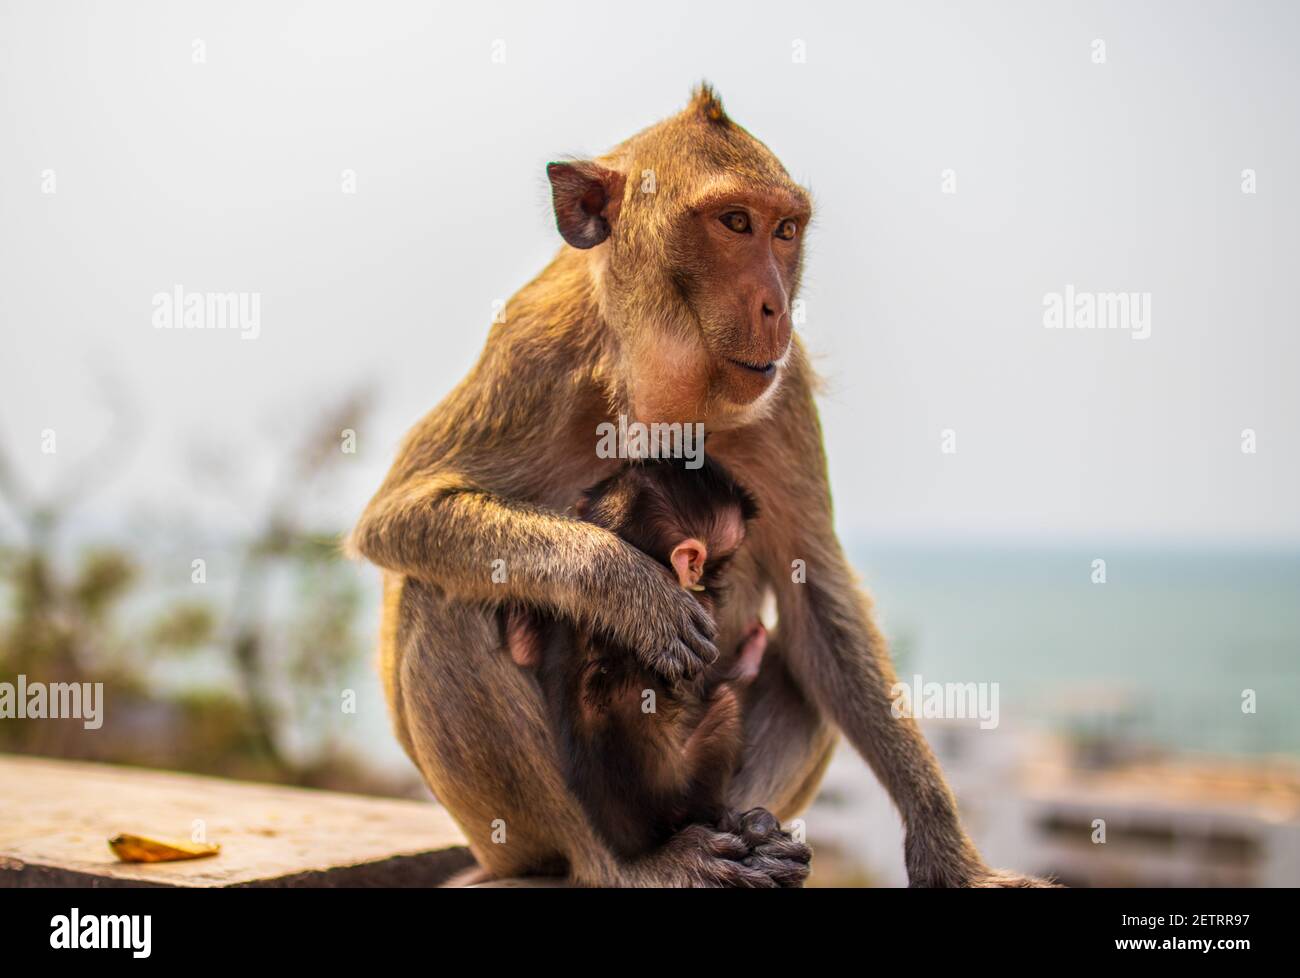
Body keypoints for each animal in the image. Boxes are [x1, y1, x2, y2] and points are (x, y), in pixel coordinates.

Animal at [506, 457, 777, 861]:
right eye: (723, 563)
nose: (722, 576)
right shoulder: (697, 610)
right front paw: (750, 652)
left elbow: (521, 642)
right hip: (684, 788)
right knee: (726, 703)